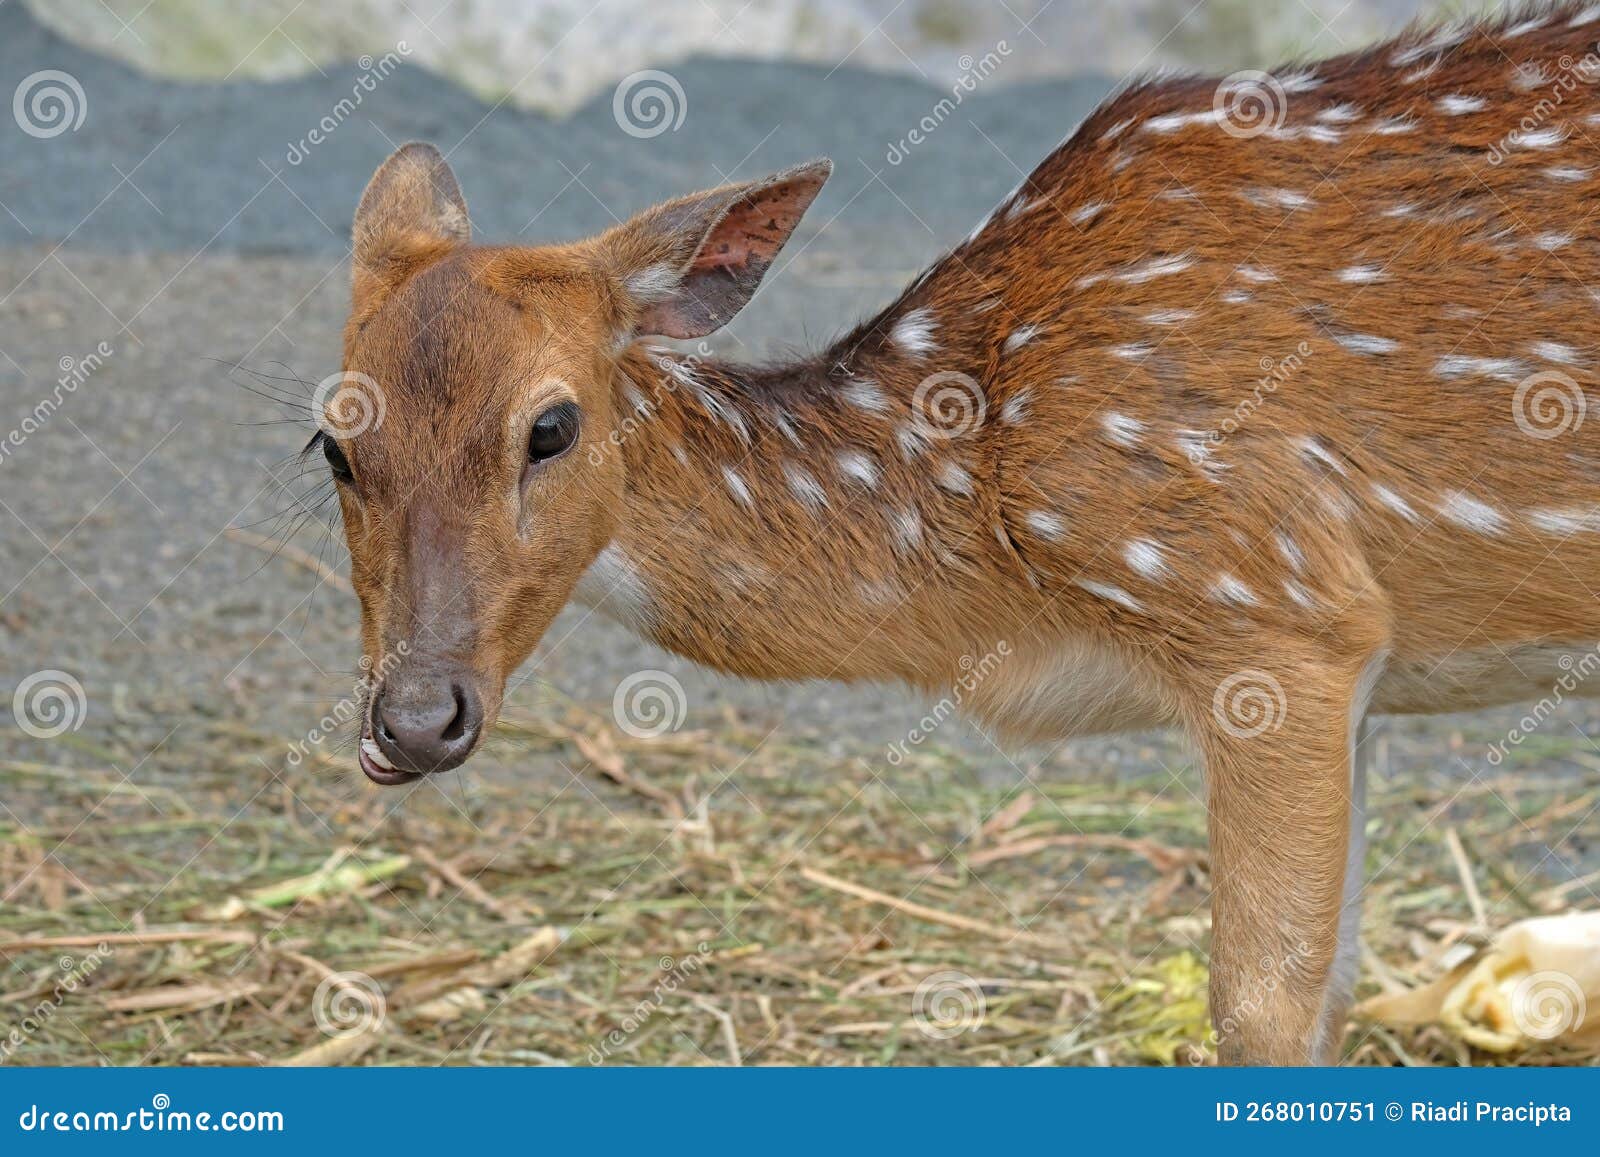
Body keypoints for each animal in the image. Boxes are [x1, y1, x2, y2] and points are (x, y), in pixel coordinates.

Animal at [315, 2, 1600, 1065]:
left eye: (551, 426)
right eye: (331, 441)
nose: (413, 717)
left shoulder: (1269, 605)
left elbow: (1262, 1007)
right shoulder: (1352, 662)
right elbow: (1330, 986)